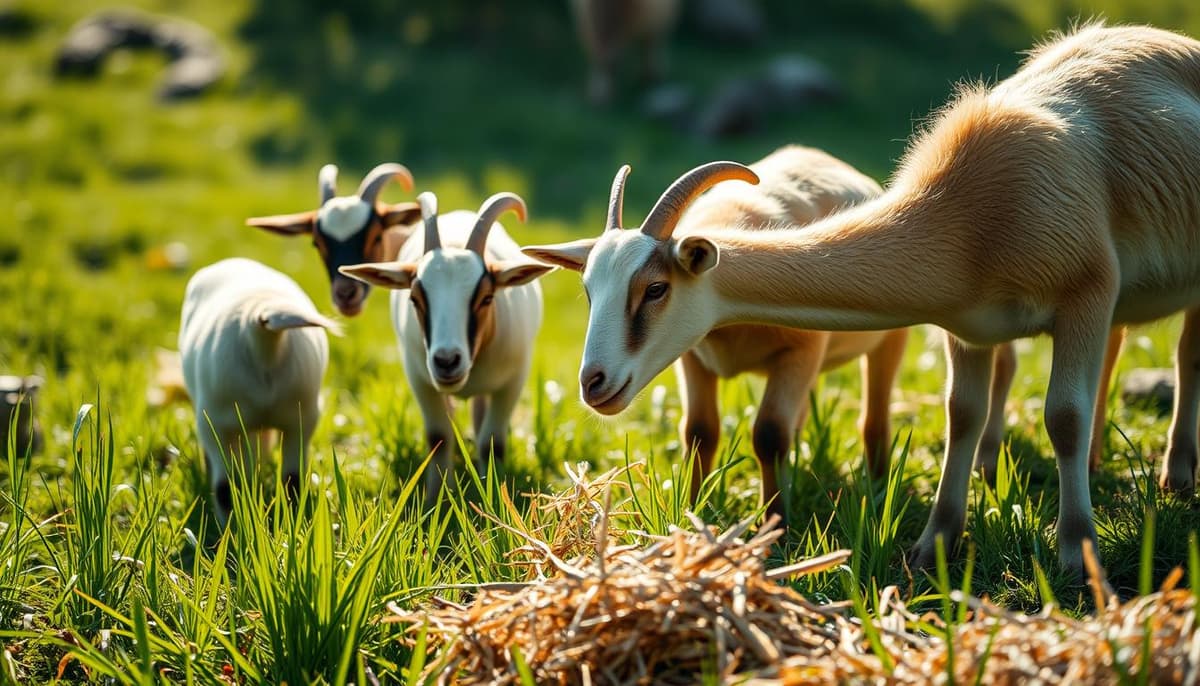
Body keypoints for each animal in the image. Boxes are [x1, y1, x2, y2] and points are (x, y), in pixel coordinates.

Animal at [340, 192, 554, 498]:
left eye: (487, 297)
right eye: (415, 298)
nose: (447, 361)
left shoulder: (513, 381)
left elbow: (492, 440)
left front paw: (493, 494)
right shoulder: (421, 380)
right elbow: (438, 436)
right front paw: (436, 497)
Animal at [522, 23, 1200, 573]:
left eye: (656, 287)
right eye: (589, 288)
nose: (594, 384)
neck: (974, 216)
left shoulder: (1086, 290)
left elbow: (1063, 415)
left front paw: (1077, 553)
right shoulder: (972, 329)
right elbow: (962, 414)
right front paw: (933, 546)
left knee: (1183, 355)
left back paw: (1176, 477)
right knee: (1114, 351)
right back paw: (1098, 464)